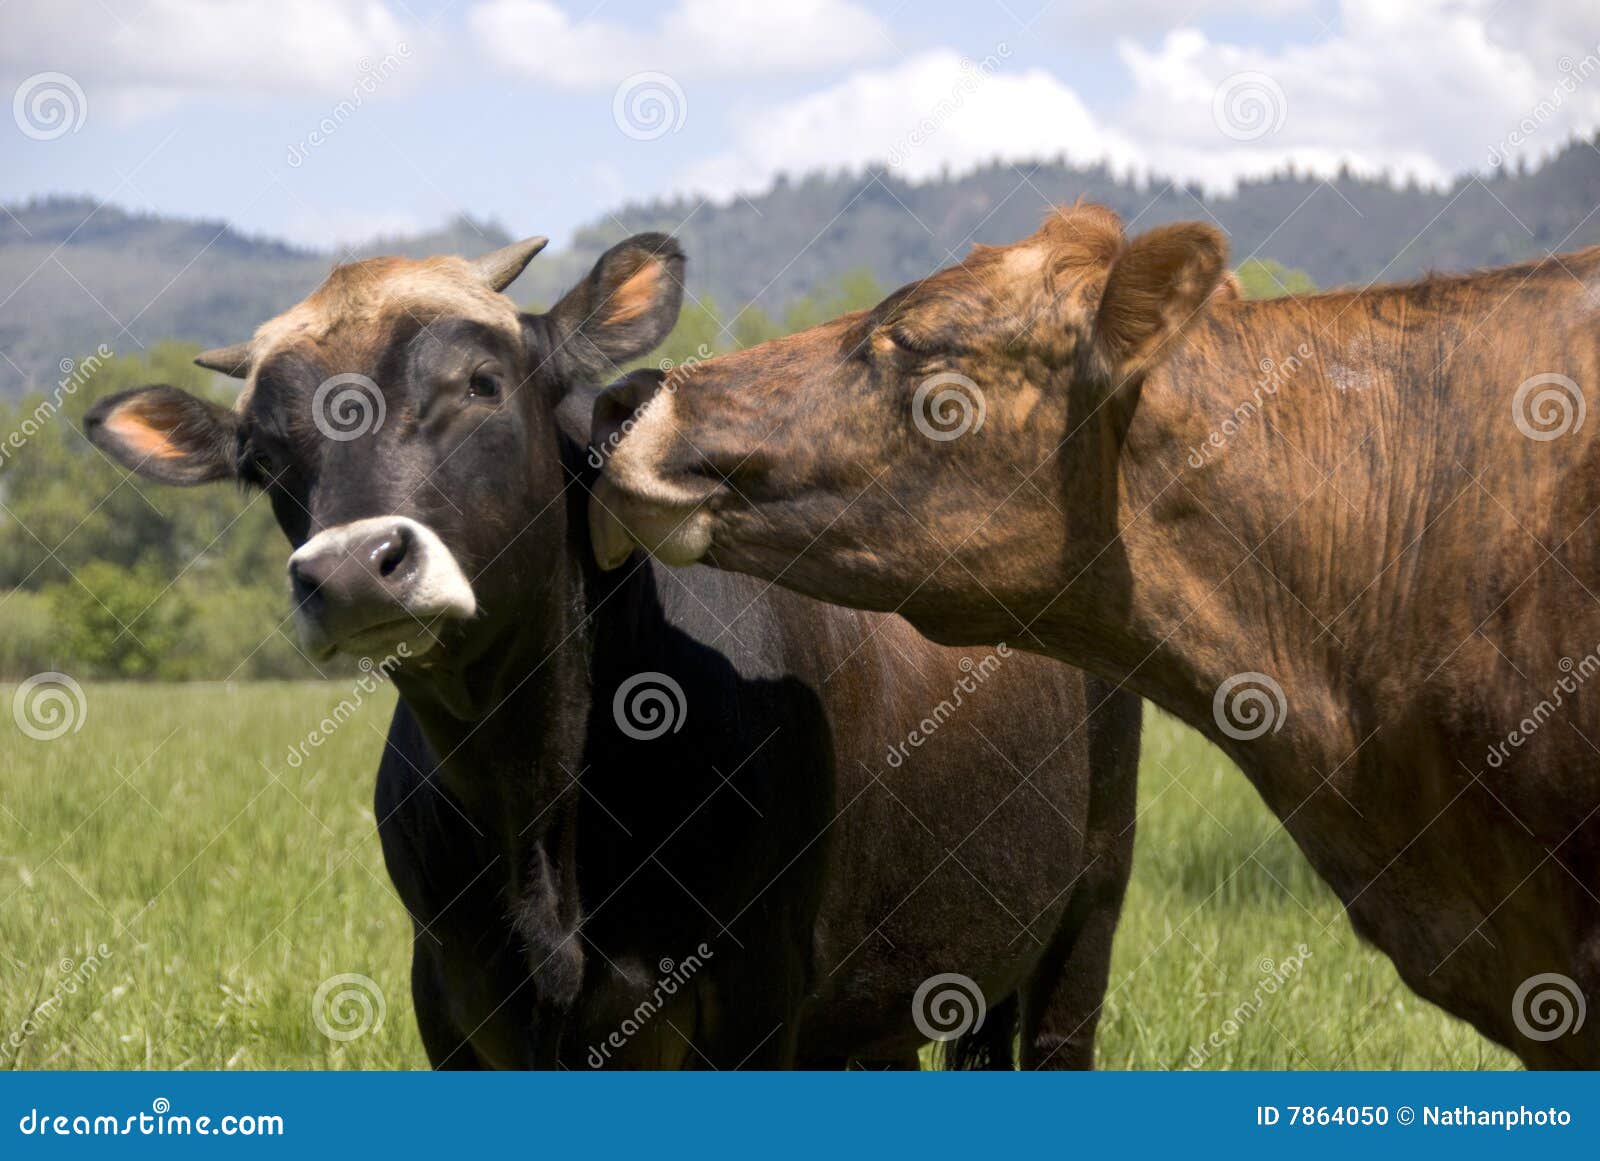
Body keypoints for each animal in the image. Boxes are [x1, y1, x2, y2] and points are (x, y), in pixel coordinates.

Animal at [83, 233, 1141, 1068]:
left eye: (480, 384)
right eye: (260, 459)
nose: (351, 569)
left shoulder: (755, 992)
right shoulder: (451, 1002)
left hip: (1083, 921)